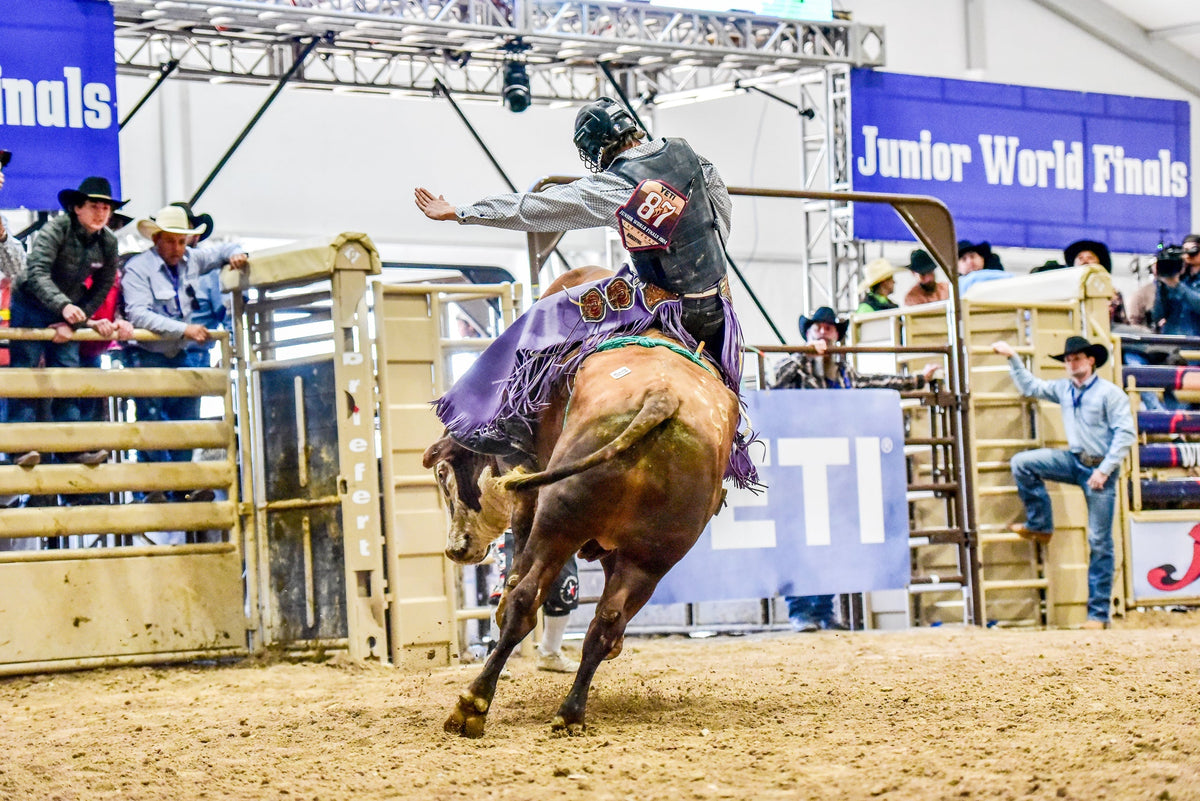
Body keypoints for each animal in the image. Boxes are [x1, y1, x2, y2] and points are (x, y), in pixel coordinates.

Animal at [423, 297, 739, 738]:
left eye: (443, 474)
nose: (456, 550)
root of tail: (662, 398)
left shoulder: (528, 490)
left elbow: (520, 559)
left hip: (559, 522)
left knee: (525, 599)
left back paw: (472, 705)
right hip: (652, 556)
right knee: (604, 620)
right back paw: (571, 712)